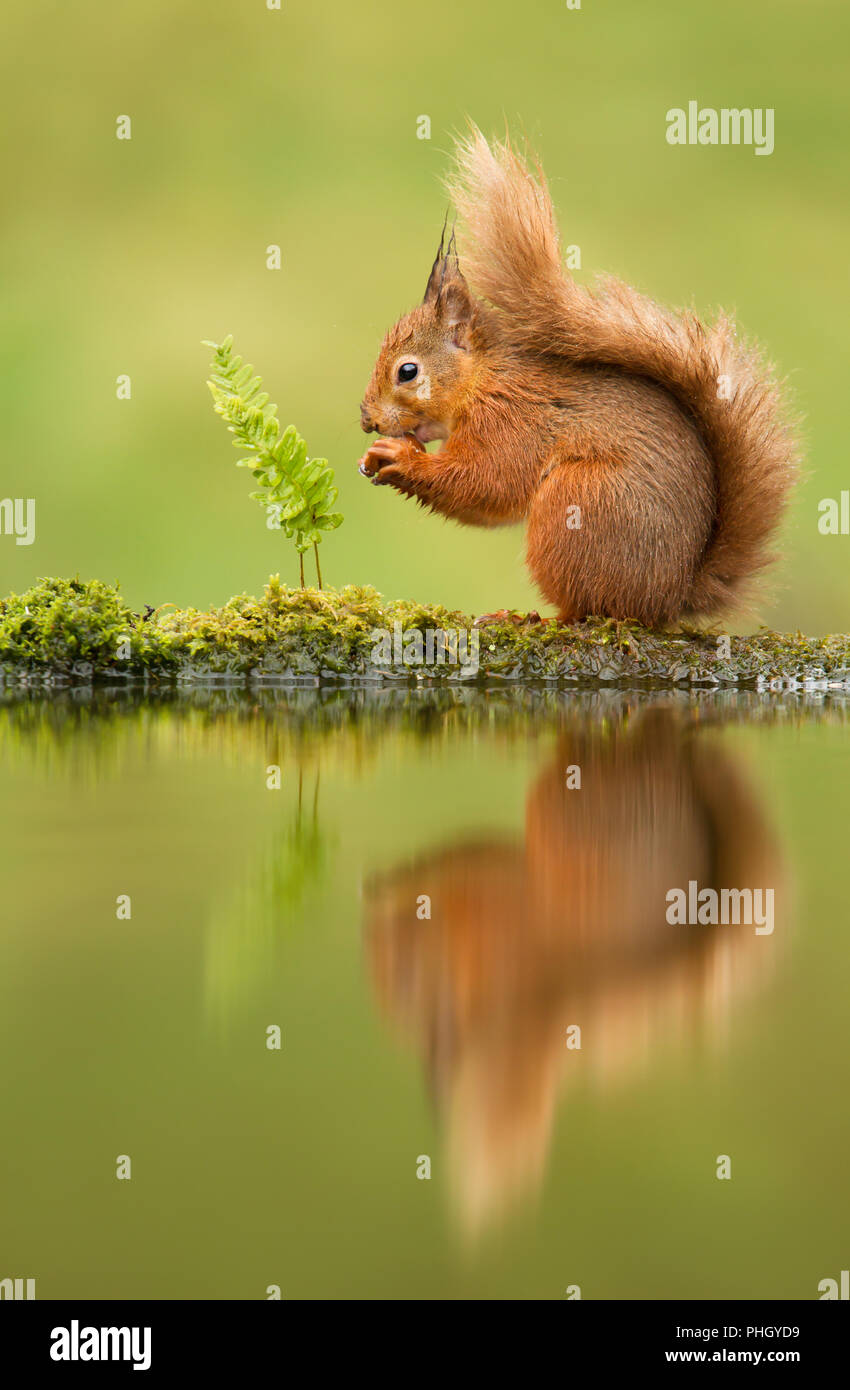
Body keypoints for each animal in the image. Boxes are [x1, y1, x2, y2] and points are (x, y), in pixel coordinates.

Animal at [358, 129, 799, 627]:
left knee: (588, 609)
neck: (484, 380)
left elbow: (486, 482)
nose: (367, 420)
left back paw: (531, 618)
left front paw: (399, 456)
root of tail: (669, 599)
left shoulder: (513, 419)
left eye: (407, 371)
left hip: (578, 502)